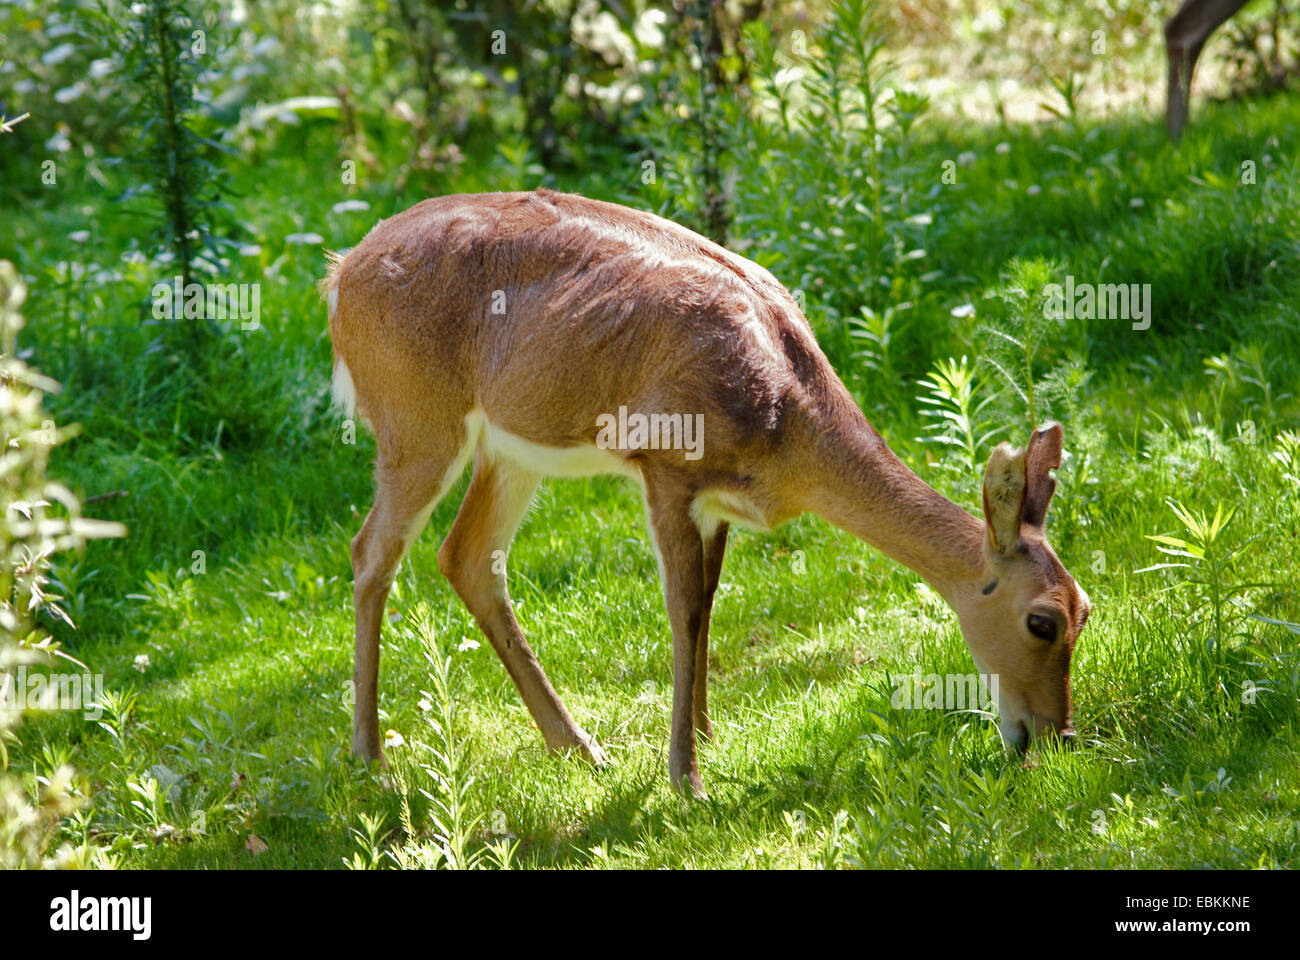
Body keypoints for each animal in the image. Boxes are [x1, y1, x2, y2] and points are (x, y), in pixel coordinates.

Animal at [322, 187, 1086, 790]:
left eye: (1085, 610)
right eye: (1041, 621)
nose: (1055, 736)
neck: (784, 426)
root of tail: (338, 276)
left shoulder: (715, 501)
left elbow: (711, 603)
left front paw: (708, 734)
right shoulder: (666, 465)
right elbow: (684, 610)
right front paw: (684, 776)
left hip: (509, 448)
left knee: (467, 557)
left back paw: (577, 746)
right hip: (417, 421)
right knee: (371, 552)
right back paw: (370, 757)